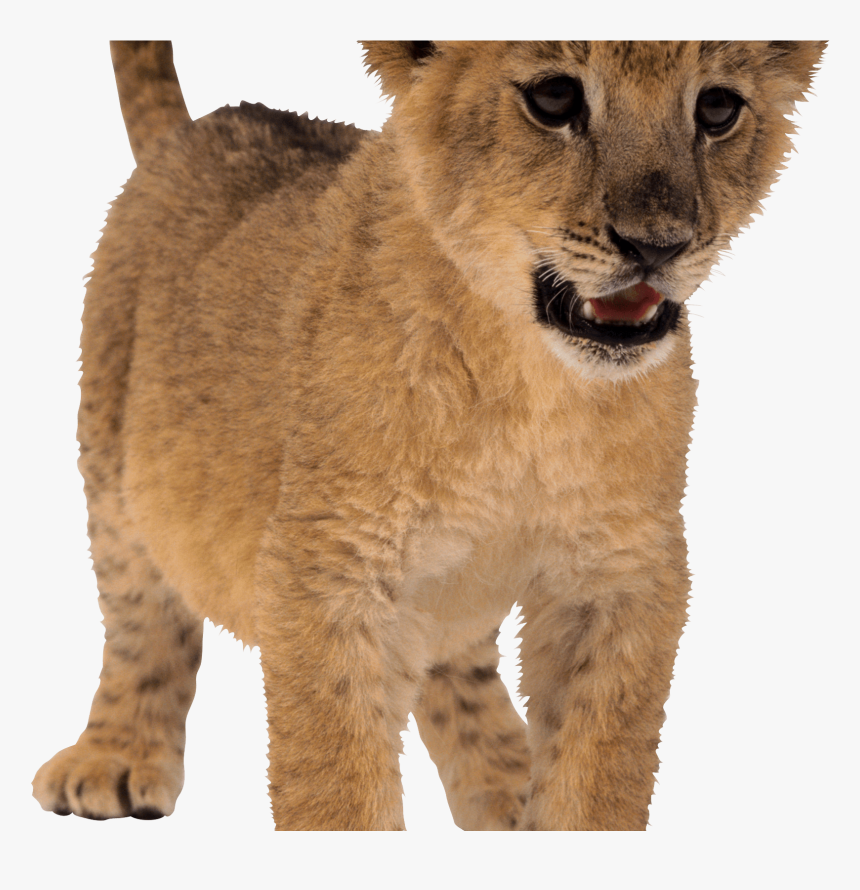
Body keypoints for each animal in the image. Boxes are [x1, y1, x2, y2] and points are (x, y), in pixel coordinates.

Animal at [32, 40, 824, 830]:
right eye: (554, 99)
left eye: (717, 108)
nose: (657, 246)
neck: (530, 387)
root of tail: (196, 129)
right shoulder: (327, 565)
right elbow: (335, 781)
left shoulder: (622, 570)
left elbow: (597, 773)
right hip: (111, 462)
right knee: (141, 616)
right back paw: (114, 757)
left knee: (456, 658)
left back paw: (506, 788)